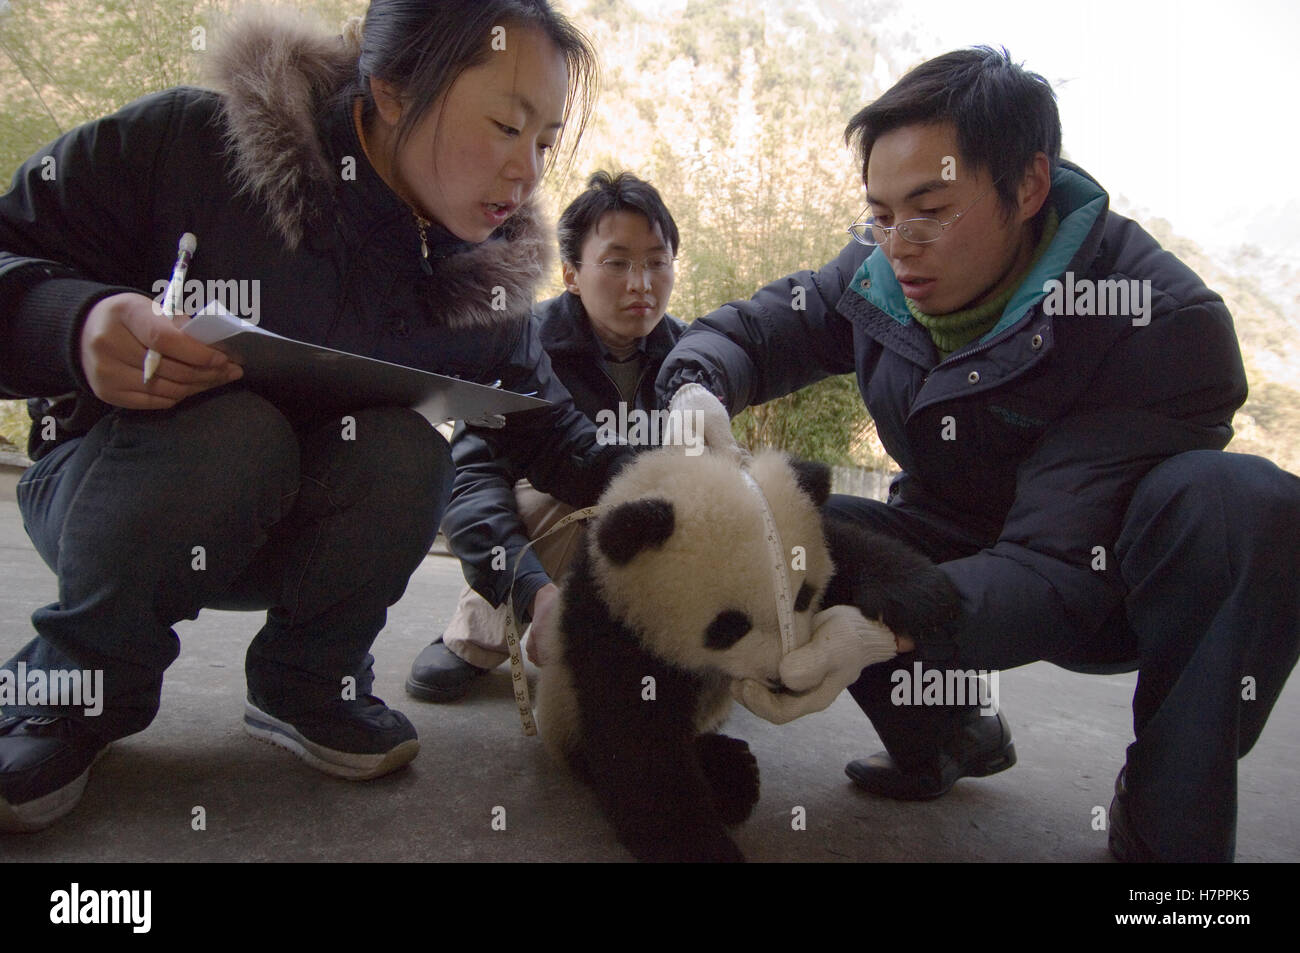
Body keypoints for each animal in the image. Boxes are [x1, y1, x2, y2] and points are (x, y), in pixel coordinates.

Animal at [533, 447, 960, 863]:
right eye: (729, 626)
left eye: (803, 596)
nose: (781, 678)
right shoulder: (611, 626)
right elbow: (638, 742)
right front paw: (700, 846)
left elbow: (849, 546)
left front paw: (921, 599)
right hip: (563, 717)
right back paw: (732, 776)